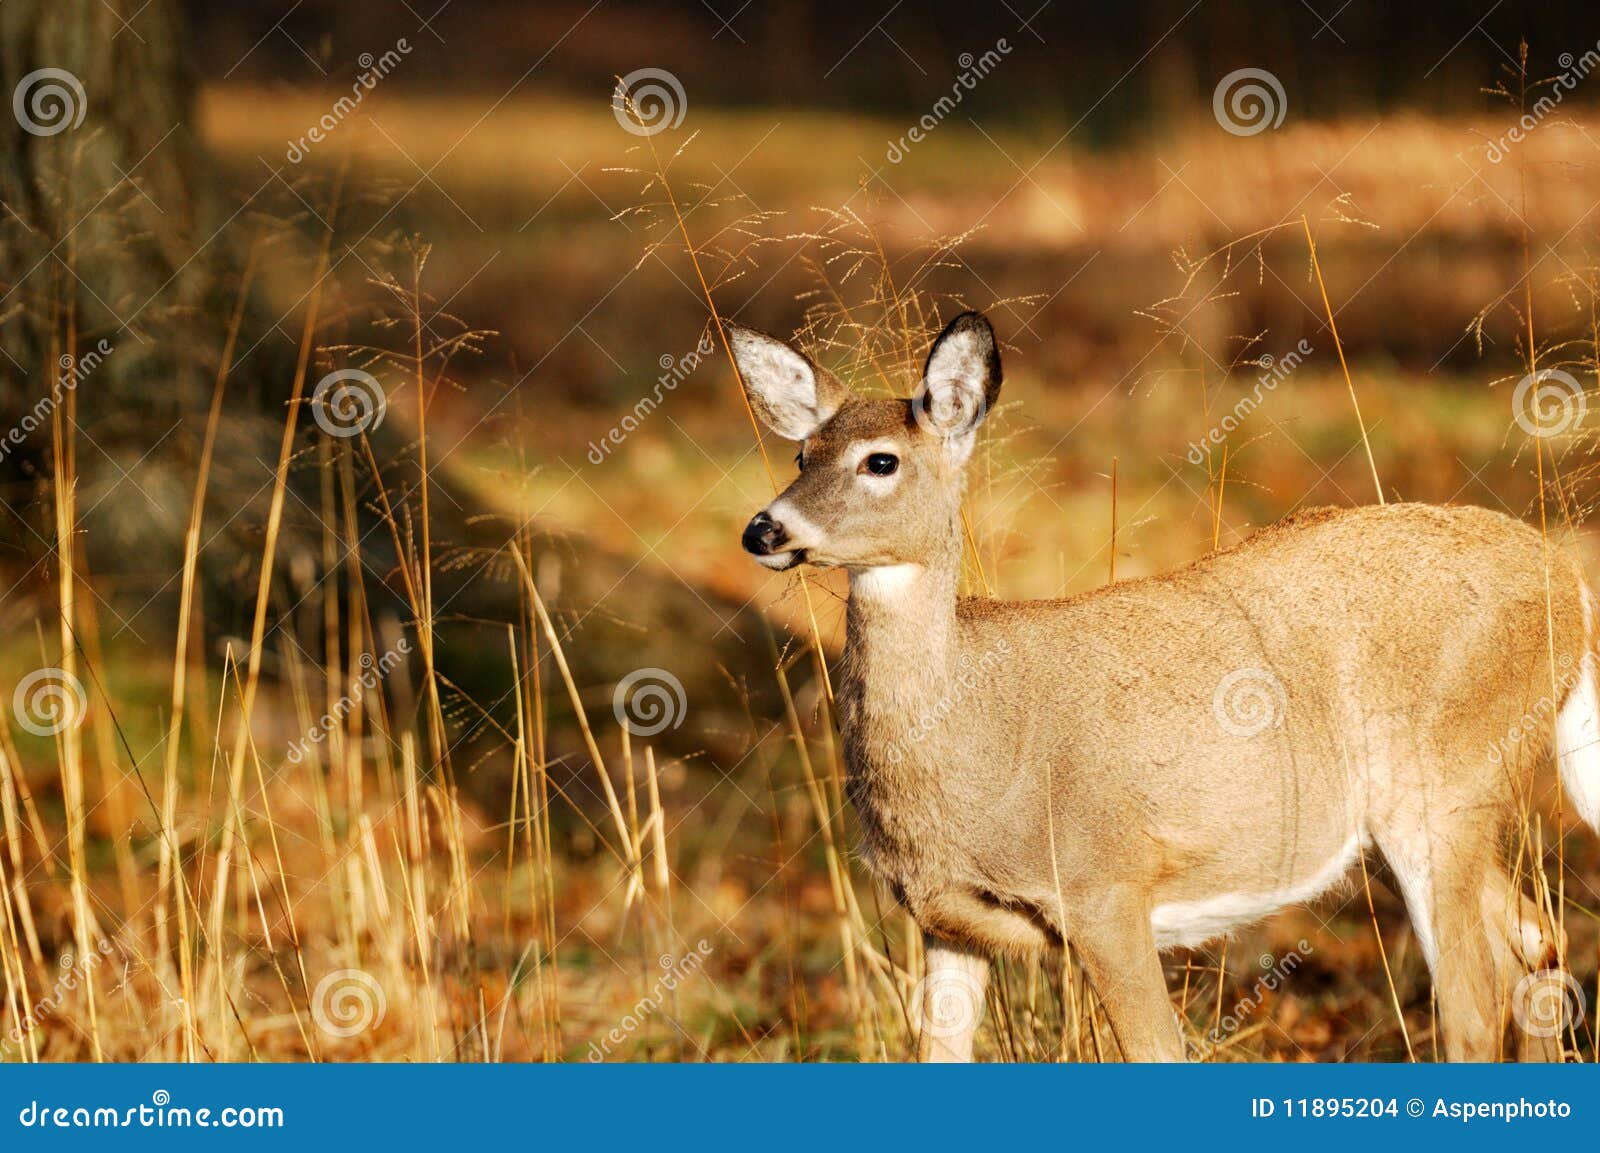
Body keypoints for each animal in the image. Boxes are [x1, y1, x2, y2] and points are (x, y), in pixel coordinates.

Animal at [730, 310, 1600, 1062]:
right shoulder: (950, 920)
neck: (978, 732)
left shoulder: (1105, 886)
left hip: (1444, 781)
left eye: (880, 460)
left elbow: (1158, 1051)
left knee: (1475, 1006)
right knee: (1536, 943)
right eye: (801, 455)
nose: (763, 529)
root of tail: (1567, 584)